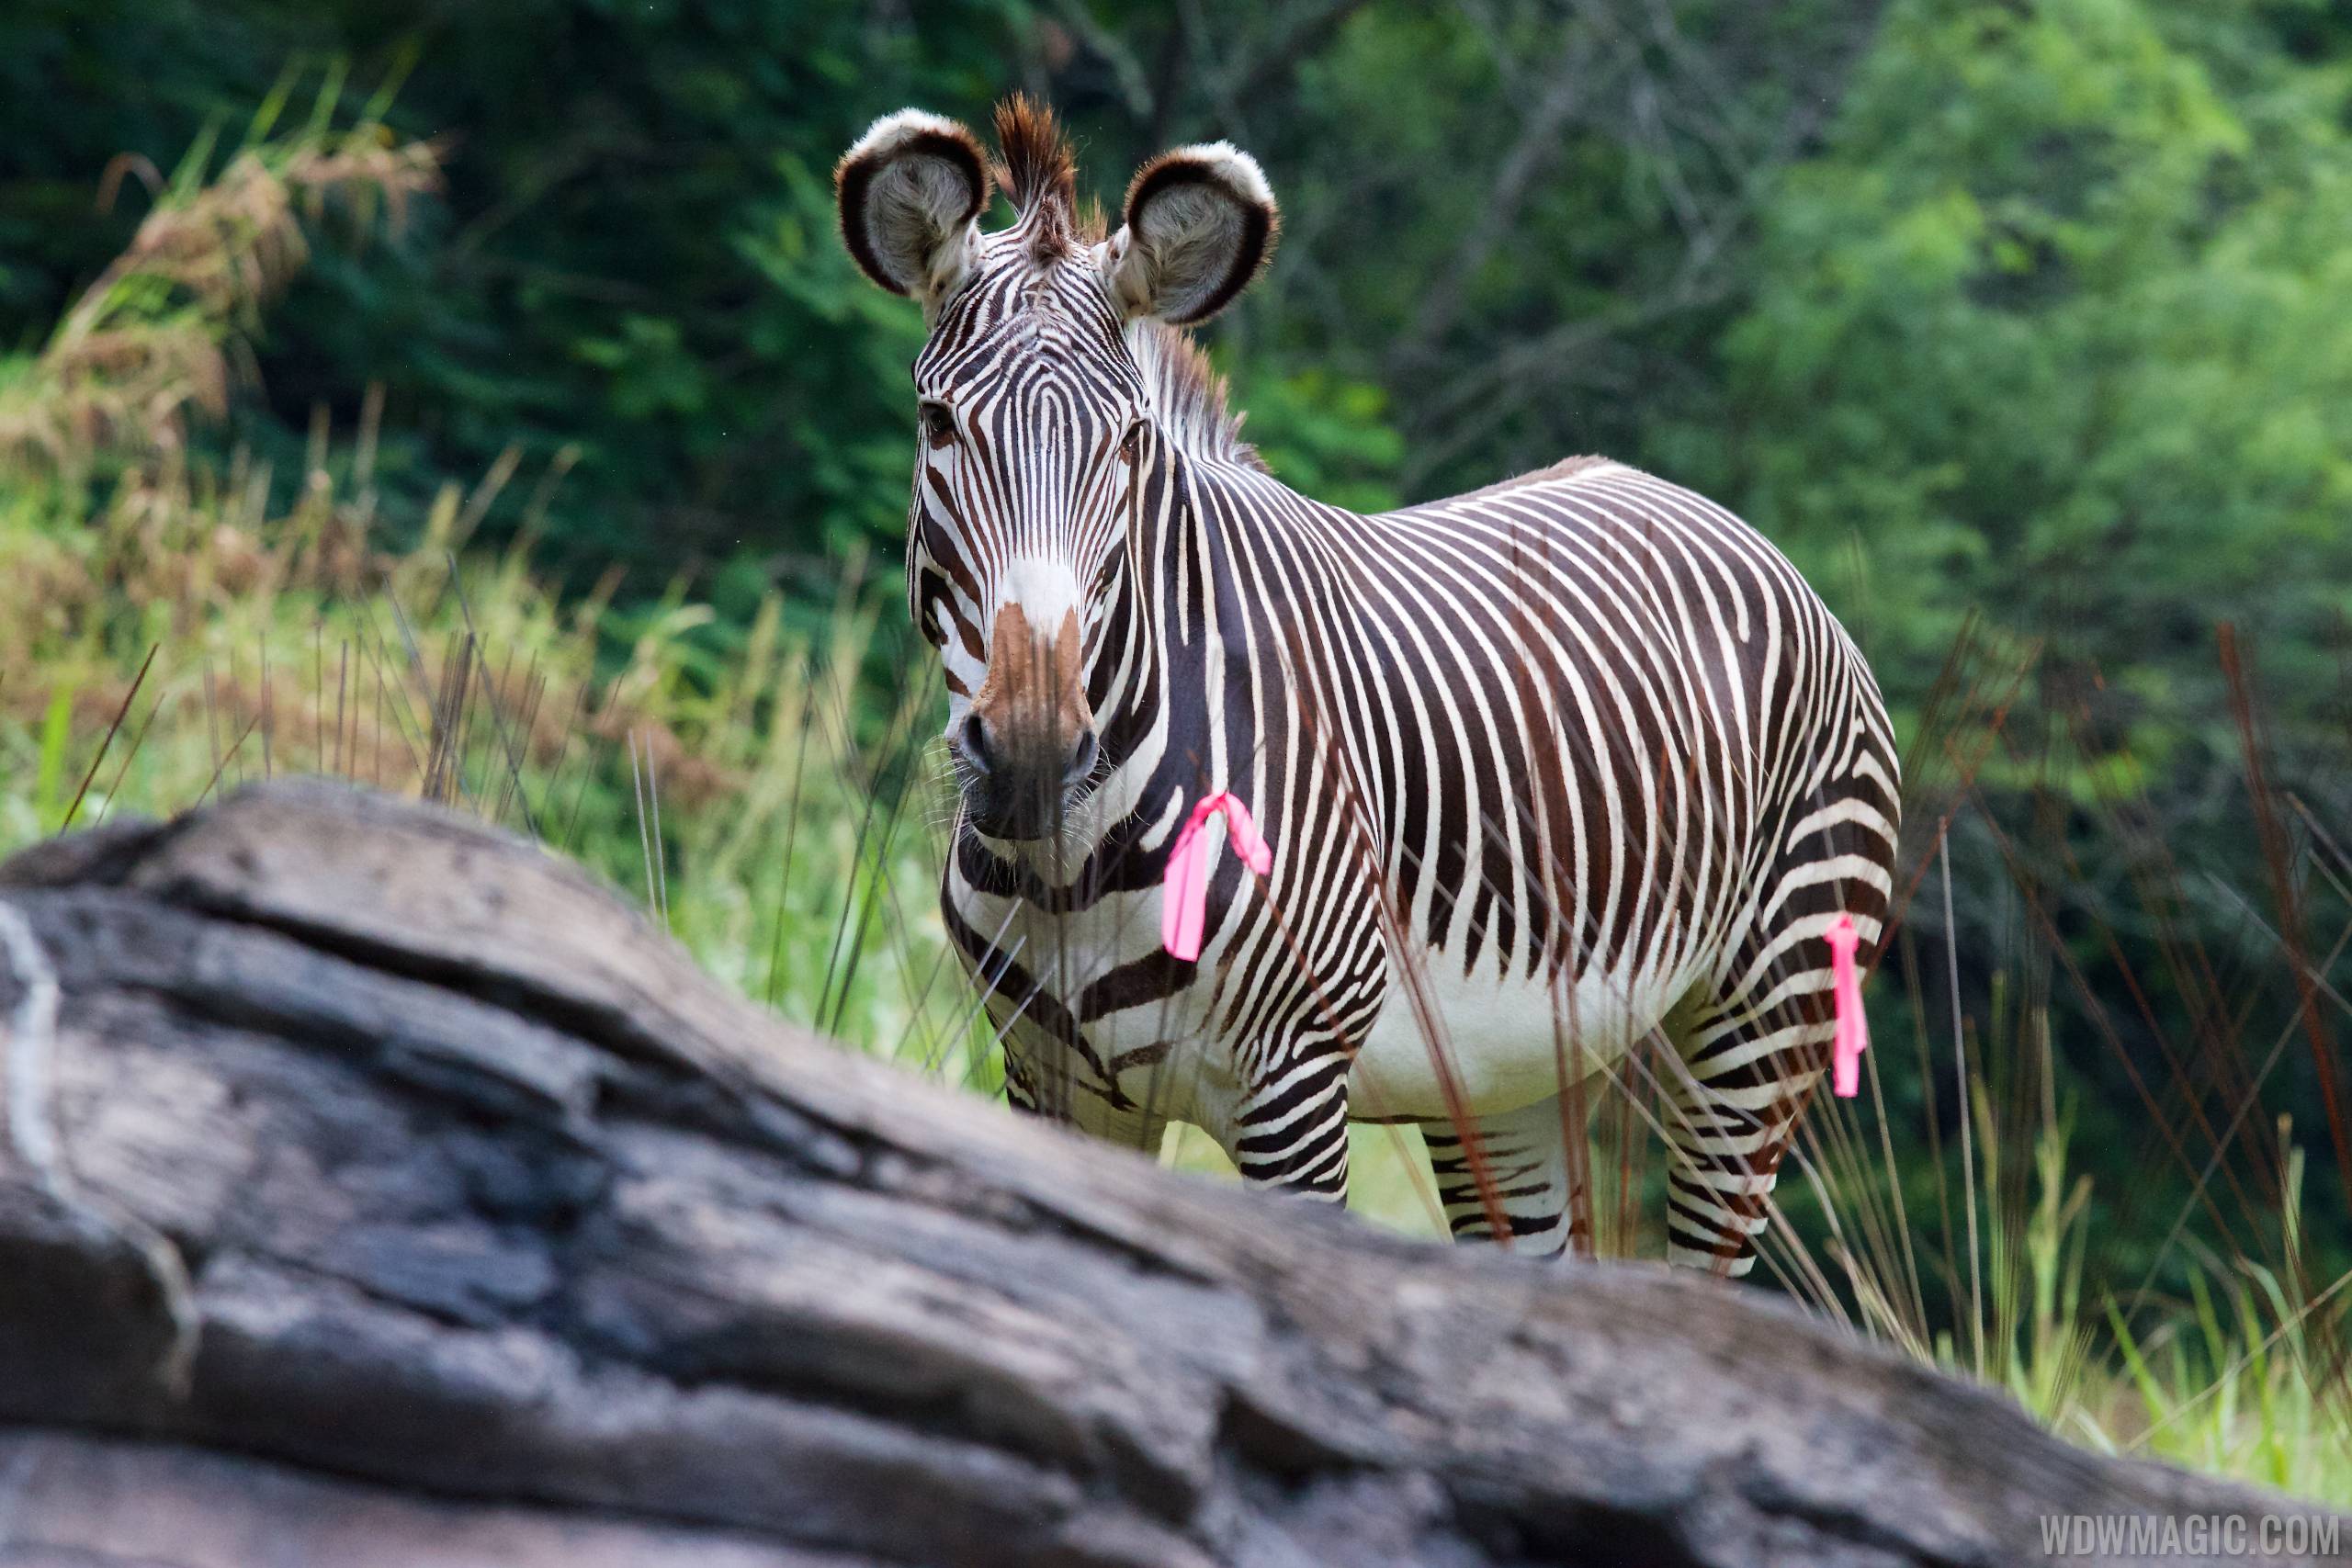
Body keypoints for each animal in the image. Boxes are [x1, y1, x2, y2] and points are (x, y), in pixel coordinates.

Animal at [833, 96, 1900, 1276]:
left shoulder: (1295, 1086)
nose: (1027, 757)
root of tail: (1710, 509)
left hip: (1774, 1002)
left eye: (1129, 442)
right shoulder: (1046, 1080)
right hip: (1513, 1067)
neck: (1073, 873)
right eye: (936, 425)